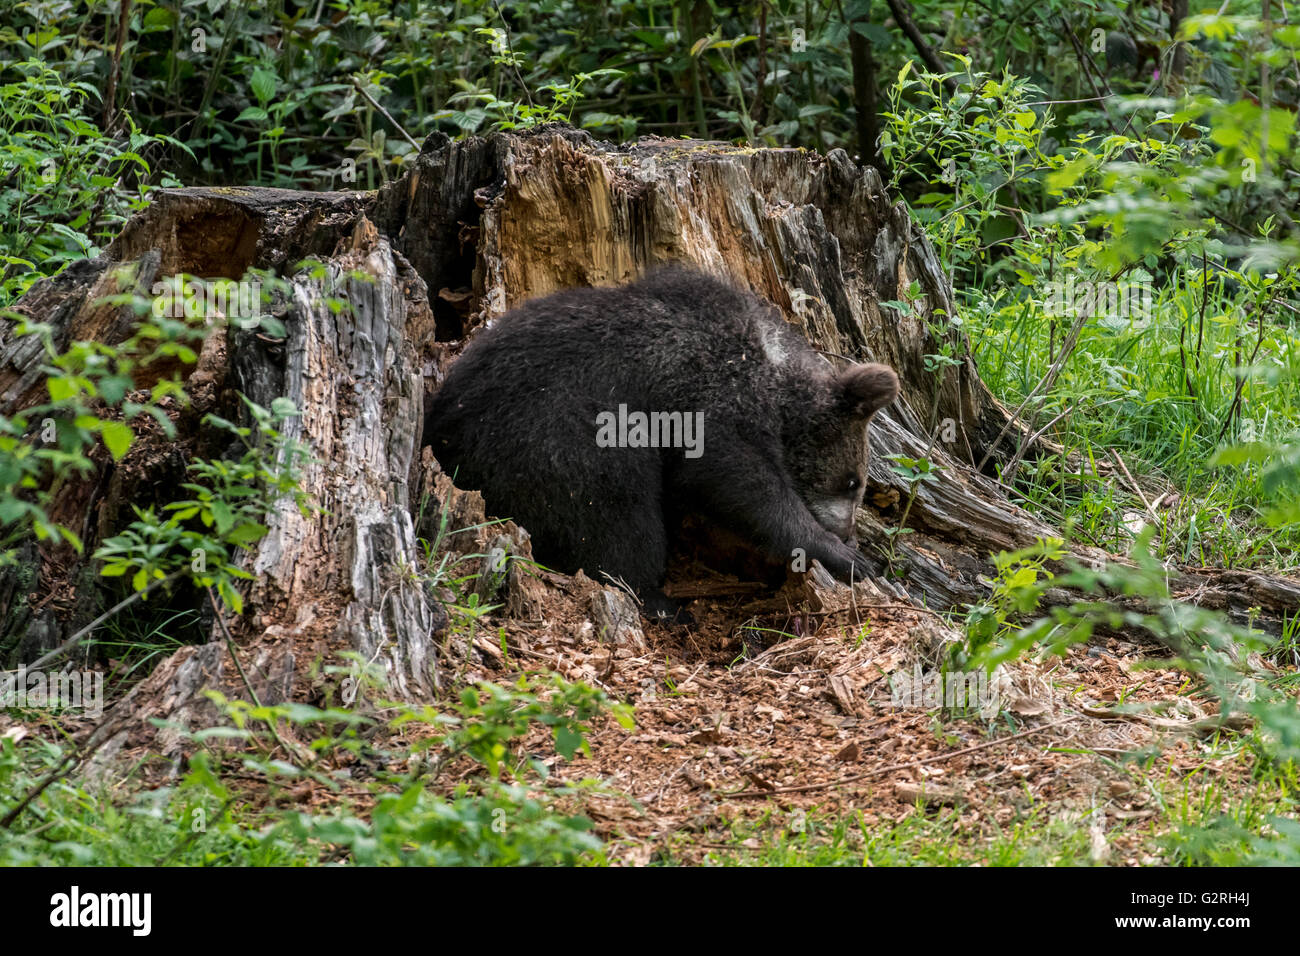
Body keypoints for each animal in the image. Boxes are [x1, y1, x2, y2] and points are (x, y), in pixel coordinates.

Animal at [425, 265, 900, 619]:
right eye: (853, 482)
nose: (847, 530)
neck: (773, 375)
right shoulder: (708, 397)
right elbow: (743, 485)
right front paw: (846, 556)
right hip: (552, 441)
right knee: (615, 517)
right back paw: (663, 601)